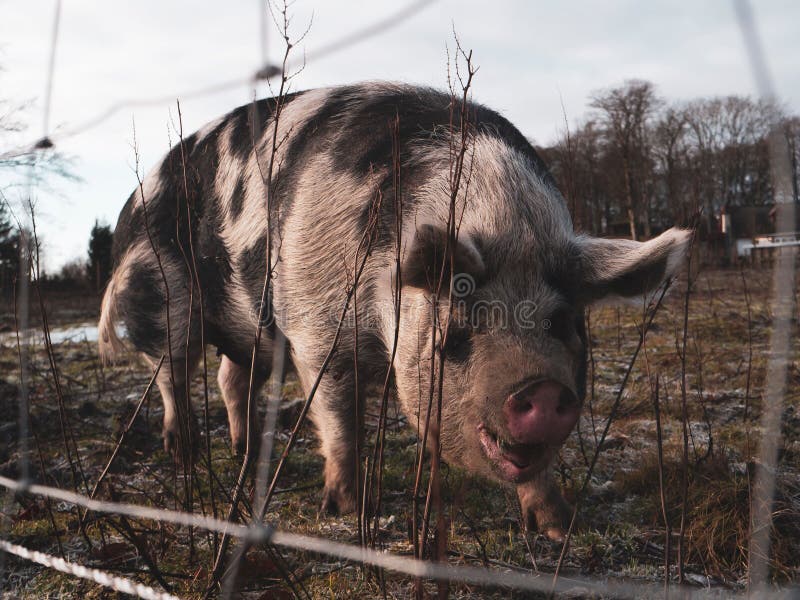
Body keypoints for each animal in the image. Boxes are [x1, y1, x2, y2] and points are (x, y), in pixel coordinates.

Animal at [98, 82, 689, 540]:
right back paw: (185, 455)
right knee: (171, 372)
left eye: (564, 324)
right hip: (163, 297)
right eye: (456, 334)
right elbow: (339, 416)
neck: (506, 227)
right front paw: (347, 508)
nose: (541, 390)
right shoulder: (318, 329)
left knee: (229, 378)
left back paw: (244, 451)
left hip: (249, 331)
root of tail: (128, 207)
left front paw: (559, 527)